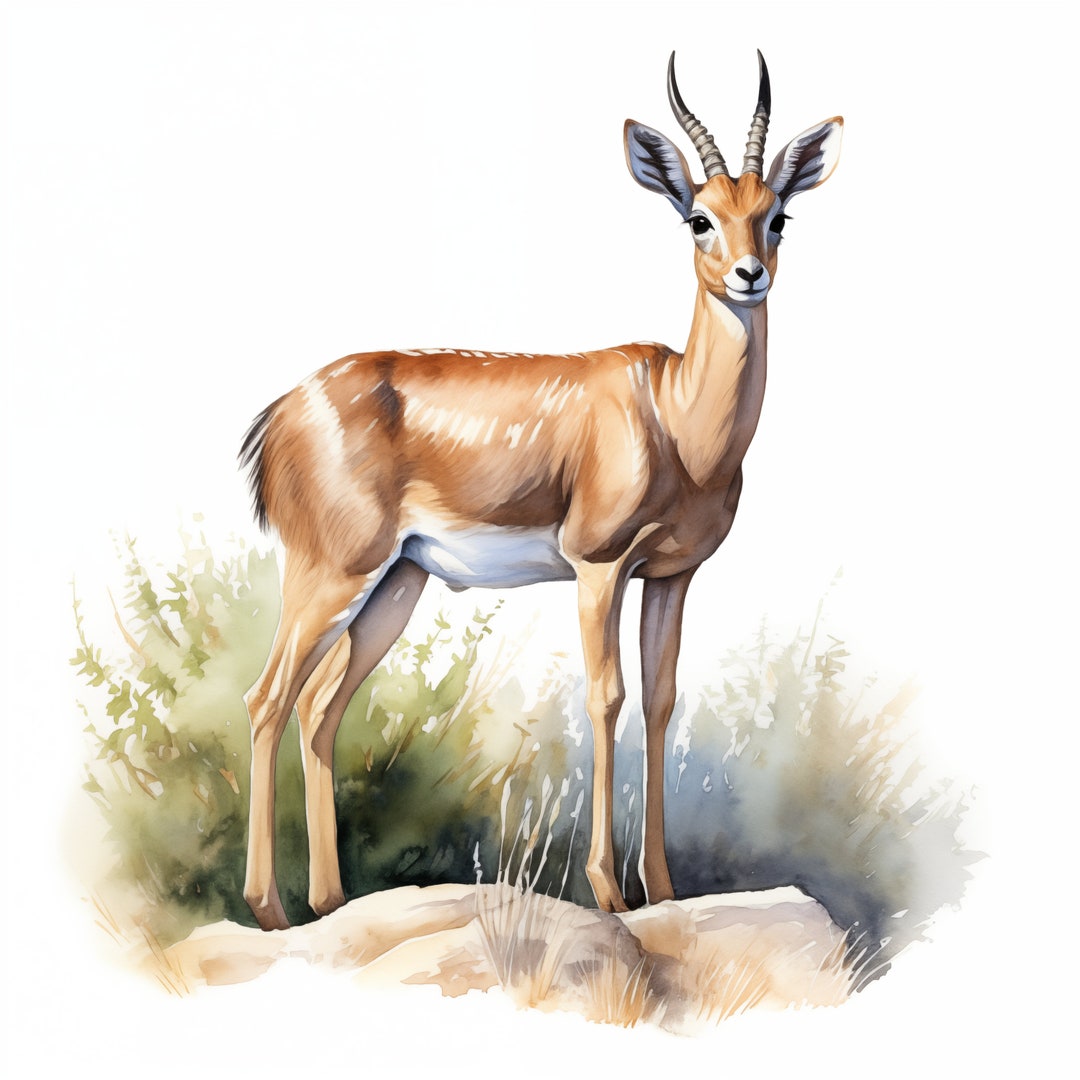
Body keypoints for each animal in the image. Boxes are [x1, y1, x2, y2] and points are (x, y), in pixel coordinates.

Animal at [240, 52, 842, 930]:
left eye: (779, 217)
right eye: (698, 217)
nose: (749, 276)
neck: (673, 413)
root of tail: (283, 410)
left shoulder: (671, 576)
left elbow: (661, 699)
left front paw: (664, 889)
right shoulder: (598, 567)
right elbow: (606, 697)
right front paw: (608, 891)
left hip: (396, 582)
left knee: (320, 707)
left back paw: (332, 899)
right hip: (331, 573)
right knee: (267, 699)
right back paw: (272, 909)